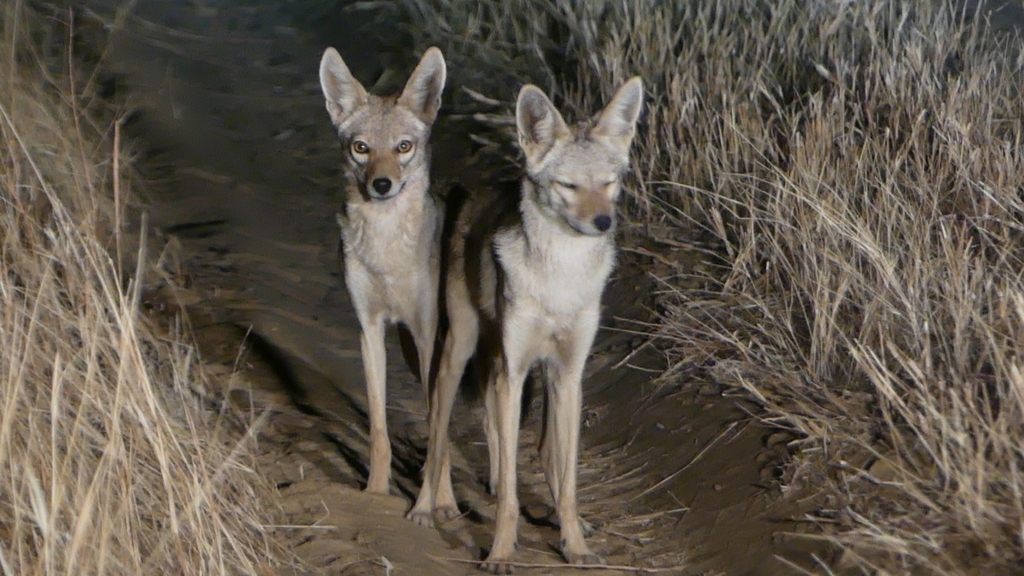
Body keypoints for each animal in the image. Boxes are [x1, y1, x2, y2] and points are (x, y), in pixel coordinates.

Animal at [319, 46, 446, 495]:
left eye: (403, 146)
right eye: (361, 148)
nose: (382, 185)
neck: (386, 249)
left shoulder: (427, 335)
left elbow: (438, 428)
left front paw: (443, 503)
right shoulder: (369, 329)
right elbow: (377, 427)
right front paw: (375, 491)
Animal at [408, 77, 644, 572]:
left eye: (609, 183)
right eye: (569, 185)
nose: (603, 222)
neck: (561, 278)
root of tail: (478, 188)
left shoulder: (568, 375)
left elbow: (566, 480)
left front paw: (575, 544)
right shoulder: (512, 372)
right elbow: (510, 495)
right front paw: (499, 551)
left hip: (531, 377)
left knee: (534, 449)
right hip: (460, 356)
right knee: (440, 437)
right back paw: (425, 507)